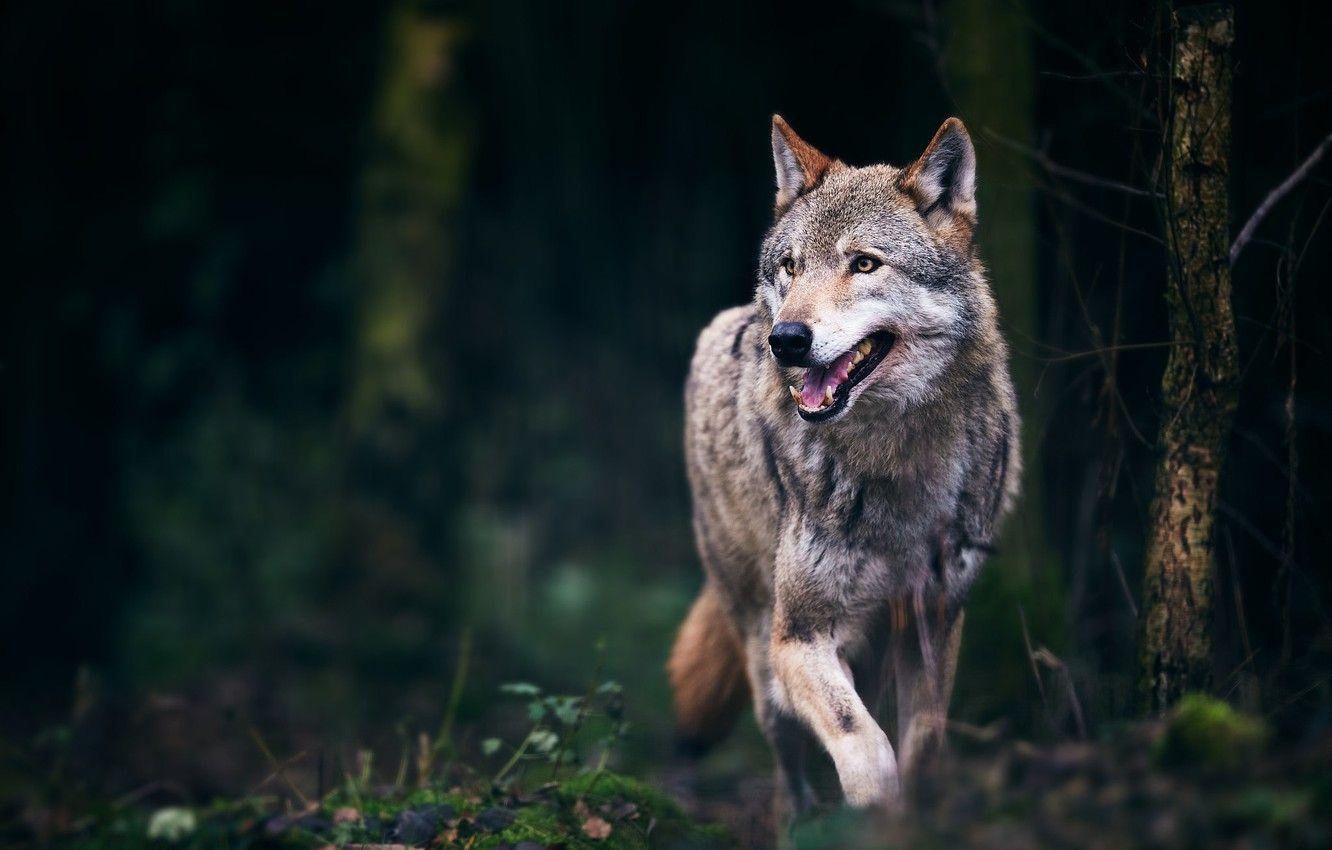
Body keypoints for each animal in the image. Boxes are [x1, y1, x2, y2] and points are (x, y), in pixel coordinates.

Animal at [668, 116, 1020, 820]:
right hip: (765, 656)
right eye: (791, 266)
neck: (898, 458)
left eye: (864, 263)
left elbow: (921, 747)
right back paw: (800, 820)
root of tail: (733, 321)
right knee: (787, 769)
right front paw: (872, 808)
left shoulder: (936, 621)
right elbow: (865, 746)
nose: (787, 340)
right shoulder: (799, 639)